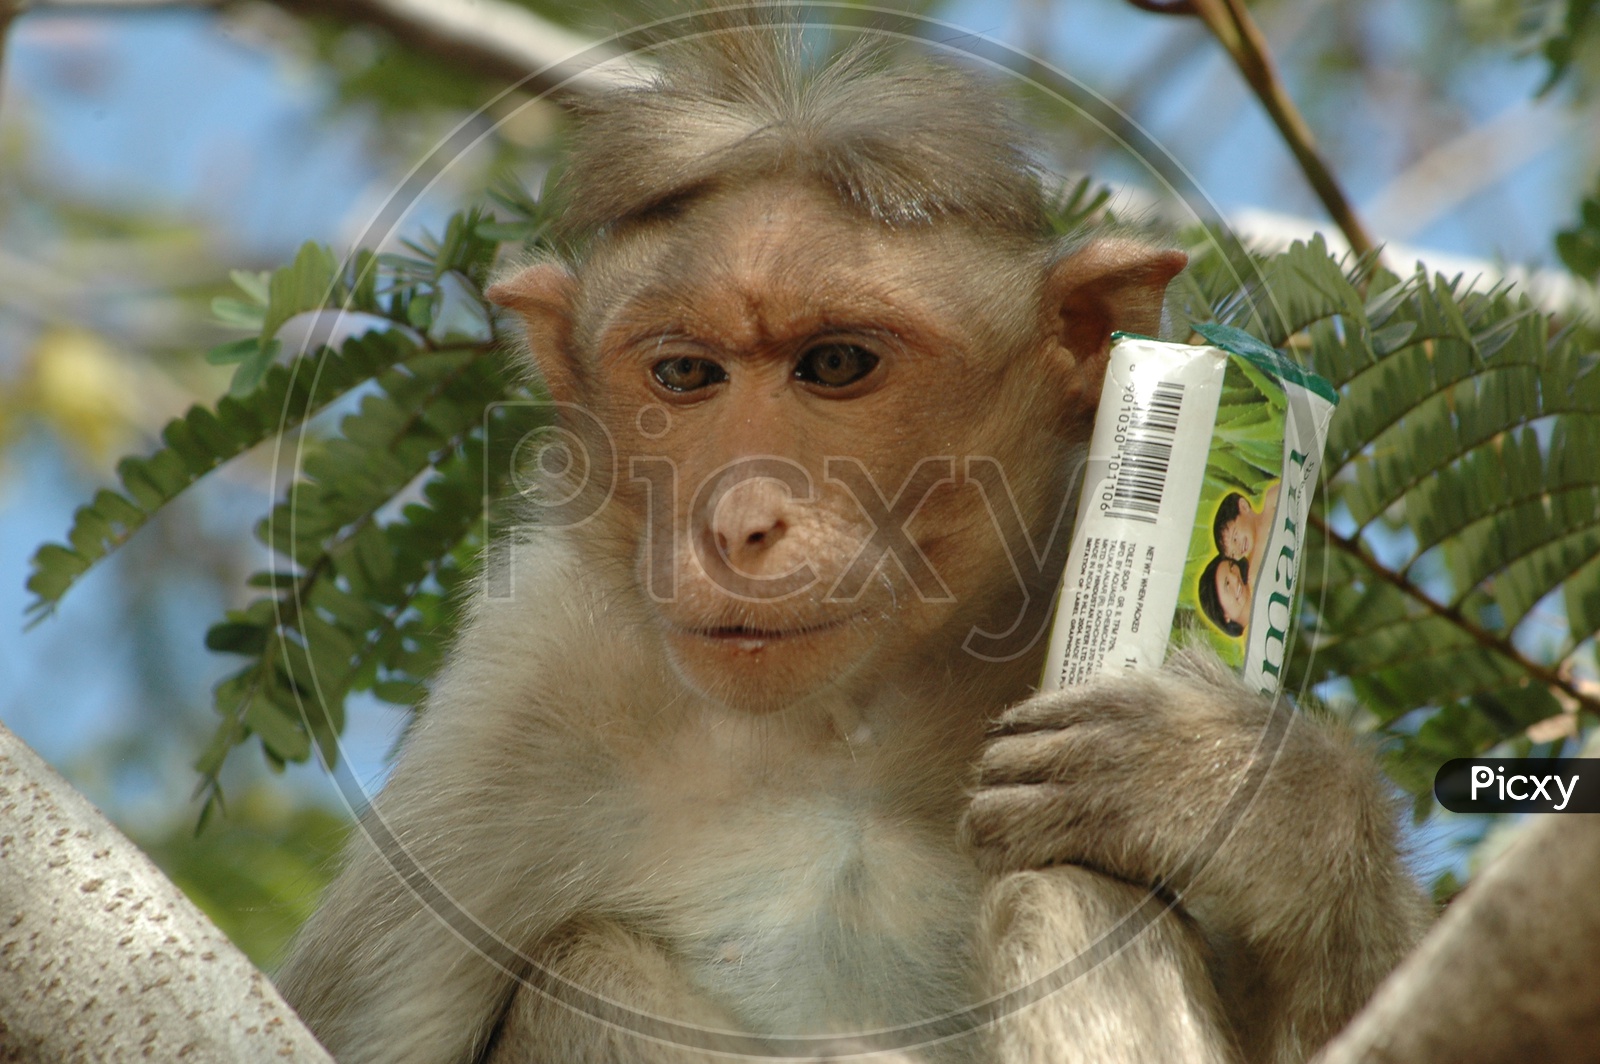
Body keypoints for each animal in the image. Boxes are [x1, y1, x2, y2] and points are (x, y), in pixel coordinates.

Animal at [274, 18, 1429, 1064]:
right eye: (684, 373)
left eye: (836, 363)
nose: (738, 518)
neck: (844, 729)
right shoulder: (522, 694)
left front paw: (1244, 789)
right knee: (589, 965)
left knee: (1068, 887)